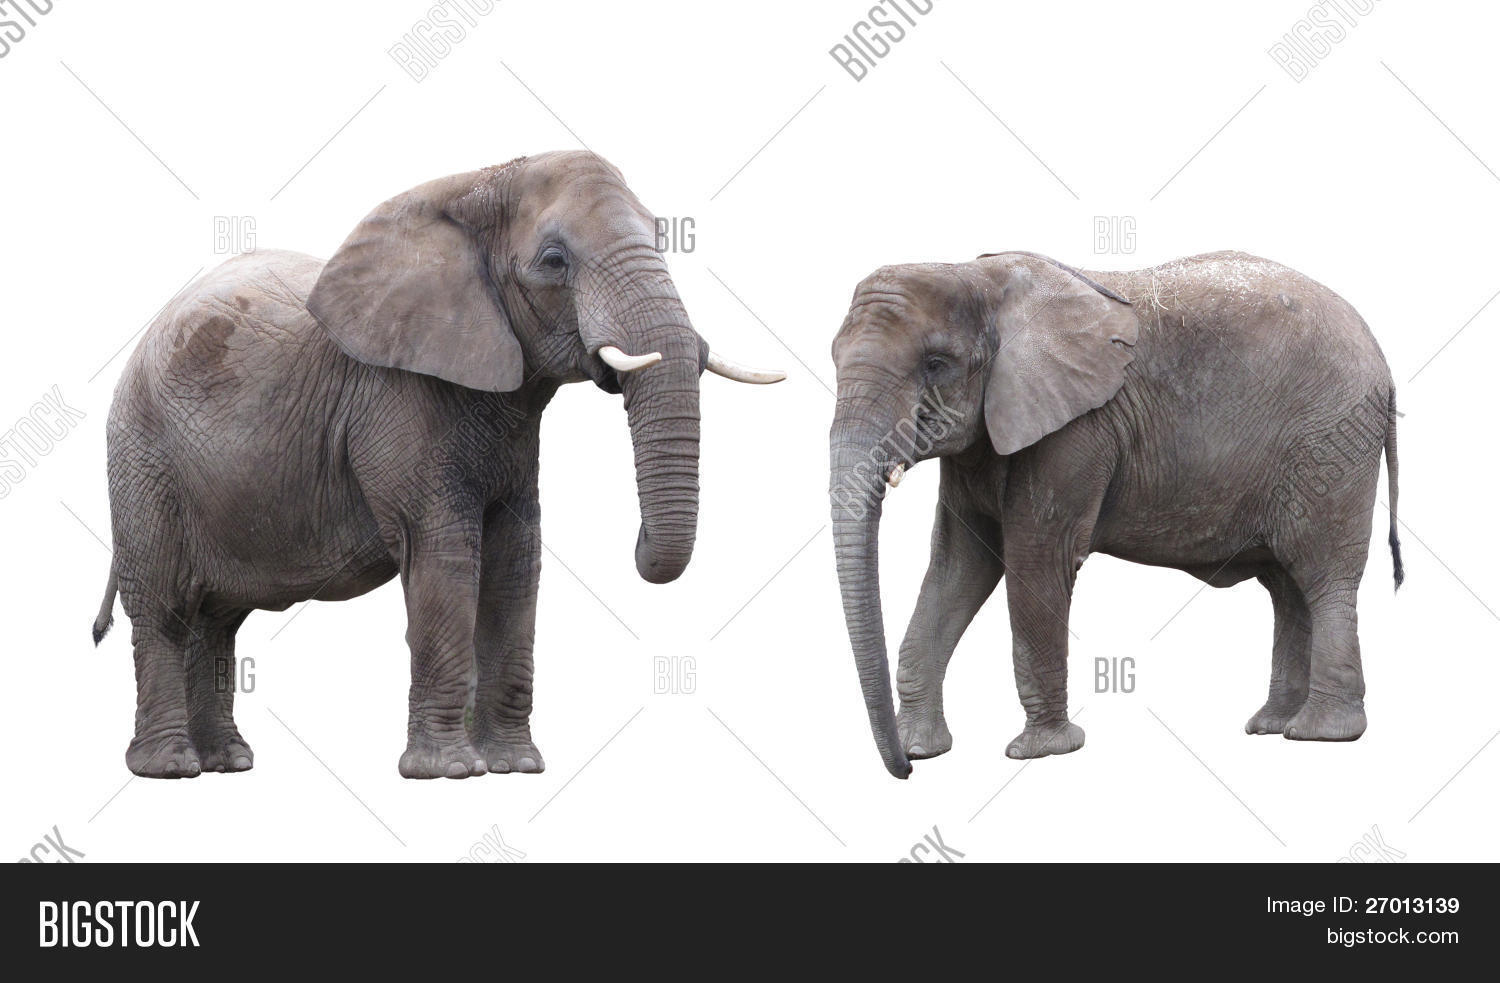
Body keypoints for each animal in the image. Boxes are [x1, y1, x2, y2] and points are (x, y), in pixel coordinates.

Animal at [93, 151, 783, 779]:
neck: (477, 184)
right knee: (163, 604)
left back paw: (229, 762)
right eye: (554, 260)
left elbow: (516, 559)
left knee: (217, 619)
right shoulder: (398, 394)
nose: (636, 544)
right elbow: (444, 553)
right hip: (141, 450)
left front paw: (516, 768)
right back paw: (170, 768)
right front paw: (448, 772)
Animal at [828, 250, 1401, 779]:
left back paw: (1320, 735)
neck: (977, 276)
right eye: (833, 359)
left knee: (1322, 576)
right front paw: (925, 748)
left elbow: (1035, 560)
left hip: (1329, 445)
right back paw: (1271, 726)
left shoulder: (1078, 428)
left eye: (935, 364)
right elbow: (959, 567)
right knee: (1288, 586)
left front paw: (1041, 752)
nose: (903, 770)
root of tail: (1383, 359)